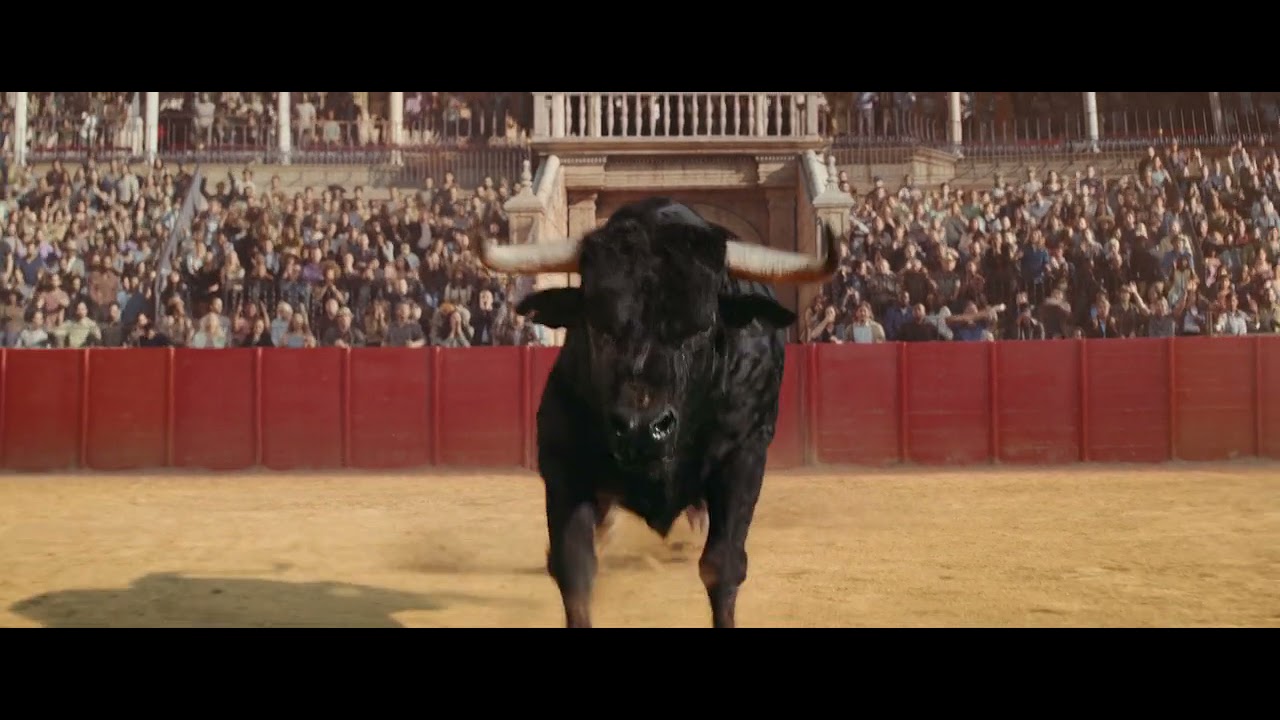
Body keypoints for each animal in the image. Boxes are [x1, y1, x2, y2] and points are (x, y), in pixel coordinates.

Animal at [478, 197, 837, 628]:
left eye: (703, 327)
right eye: (597, 325)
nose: (640, 429)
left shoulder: (746, 455)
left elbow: (722, 566)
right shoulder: (561, 459)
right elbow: (575, 568)